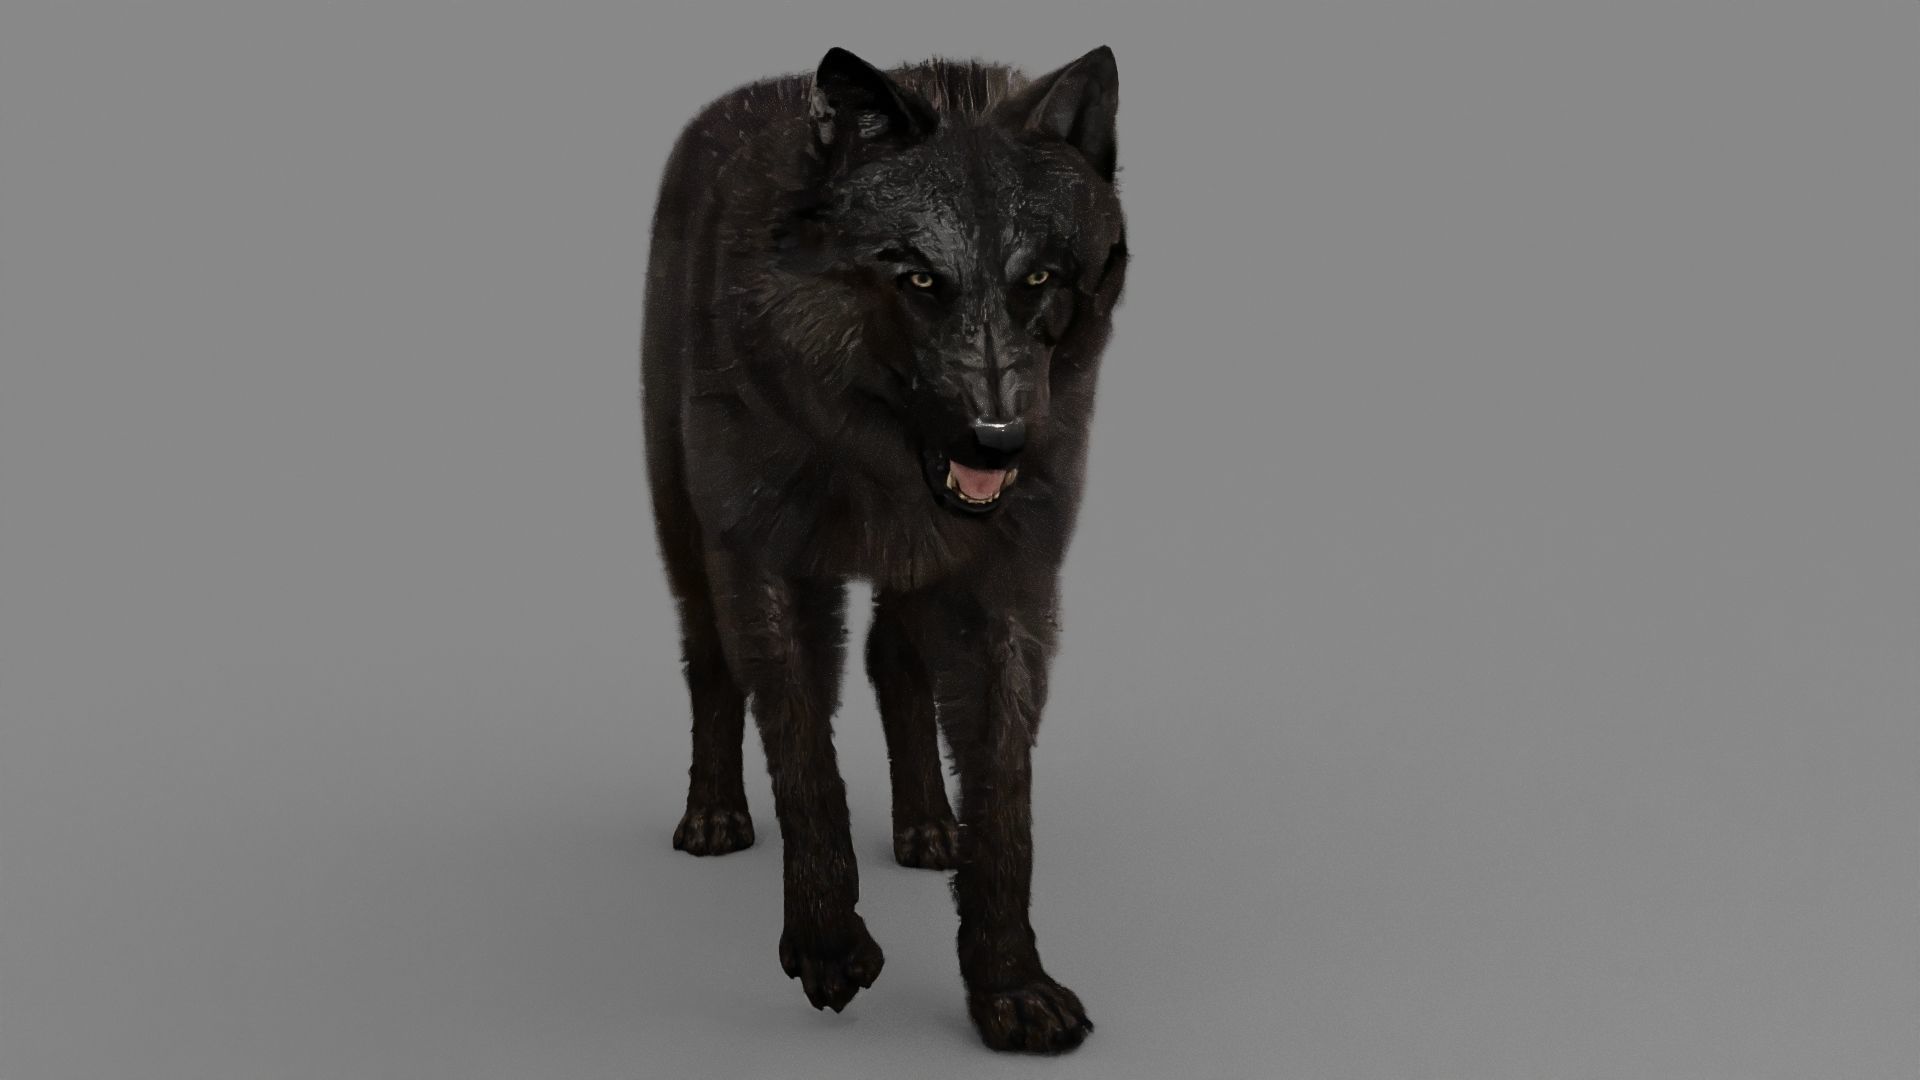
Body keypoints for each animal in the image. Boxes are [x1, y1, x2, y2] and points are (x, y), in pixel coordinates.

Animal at [639, 44, 1128, 1054]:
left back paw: (929, 827)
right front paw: (828, 945)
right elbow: (805, 763)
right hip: (687, 537)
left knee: (890, 658)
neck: (880, 464)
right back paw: (714, 814)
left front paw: (1012, 987)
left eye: (1038, 280)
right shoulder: (767, 566)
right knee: (712, 666)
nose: (997, 441)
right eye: (918, 280)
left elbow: (1007, 800)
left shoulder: (1011, 586)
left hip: (913, 577)